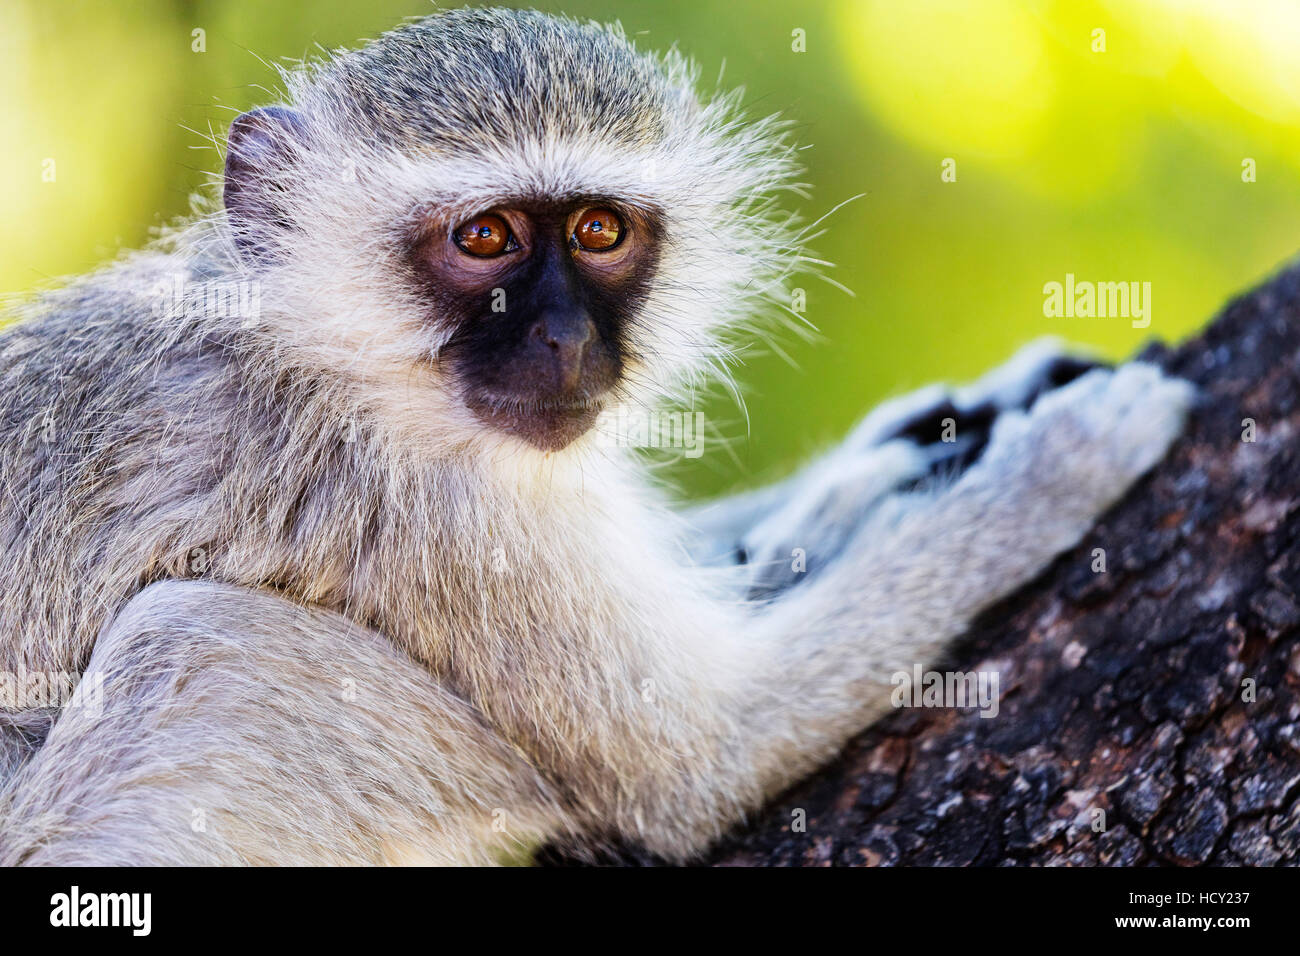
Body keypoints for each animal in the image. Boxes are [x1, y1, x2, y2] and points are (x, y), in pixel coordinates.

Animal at [0, 8, 1194, 865]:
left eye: (599, 230)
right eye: (484, 238)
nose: (567, 339)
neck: (320, 346)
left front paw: (921, 442)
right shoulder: (420, 501)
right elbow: (702, 760)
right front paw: (1054, 471)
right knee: (206, 637)